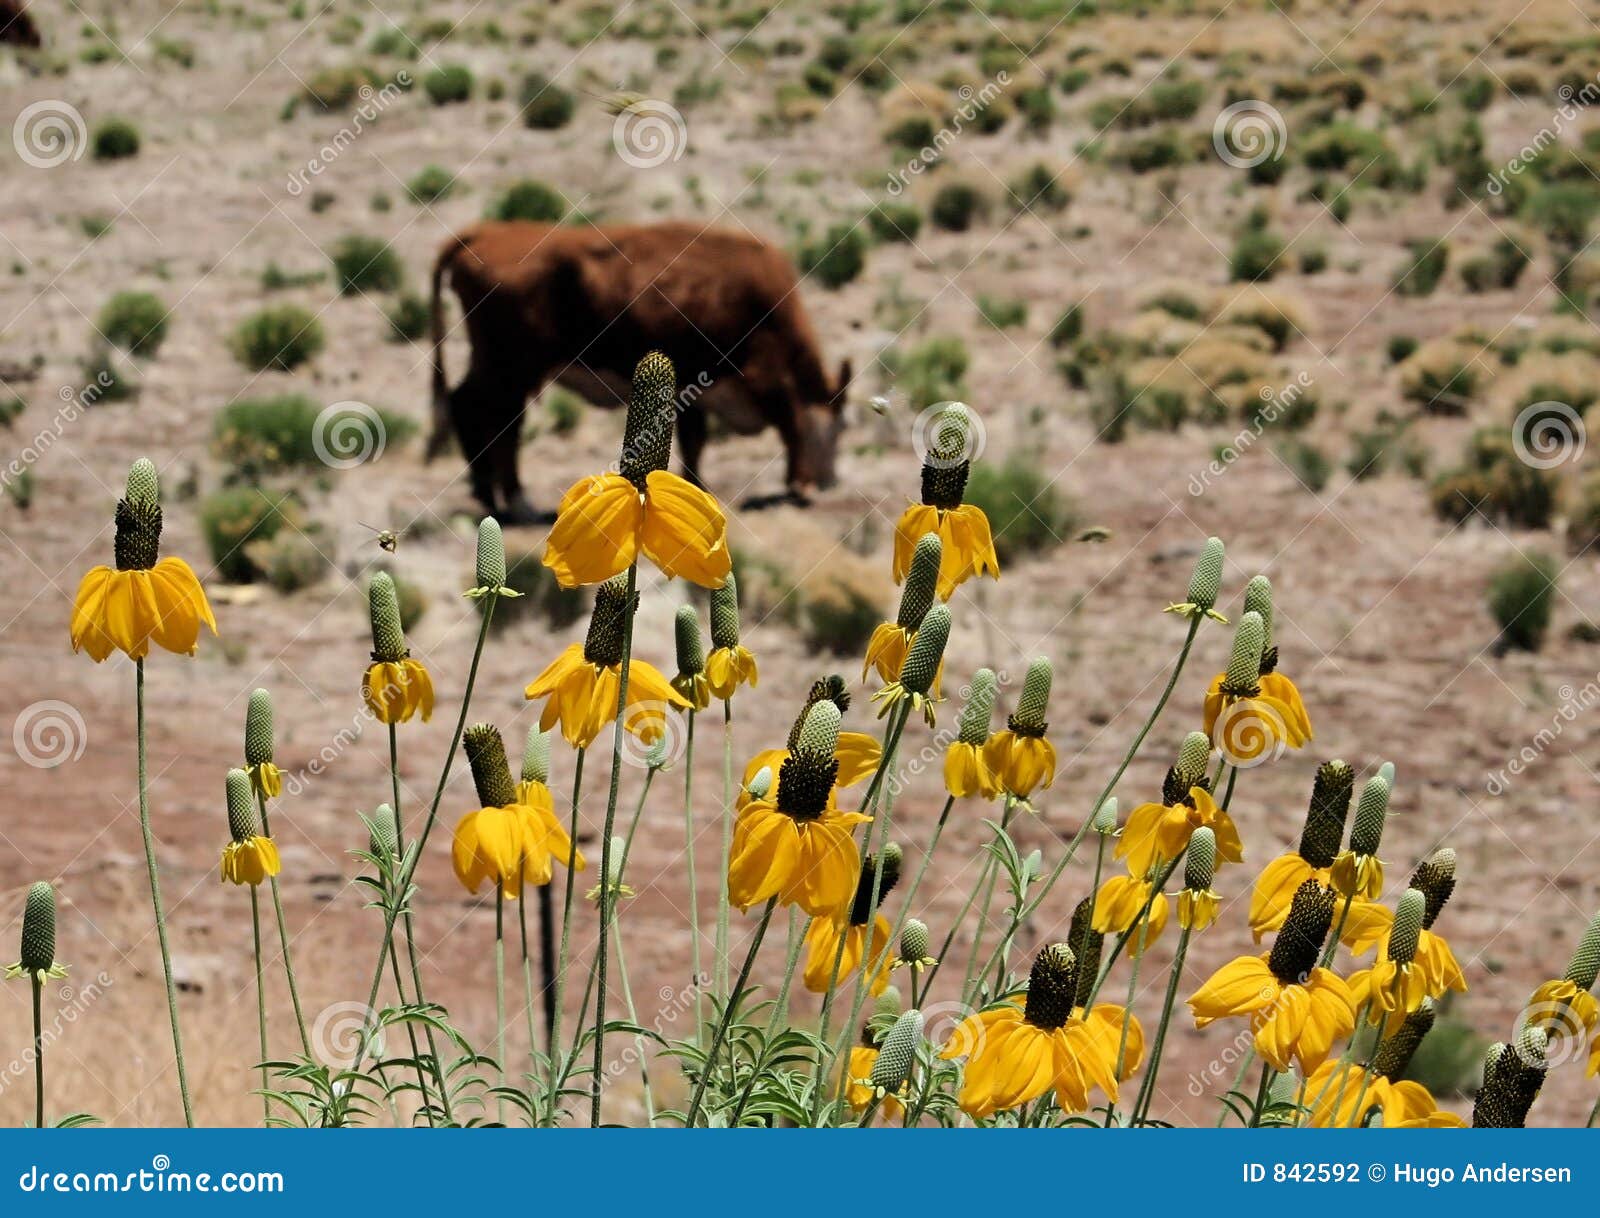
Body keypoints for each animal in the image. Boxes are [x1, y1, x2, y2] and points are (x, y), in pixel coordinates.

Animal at [426, 220, 850, 523]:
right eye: (840, 426)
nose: (830, 481)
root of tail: (486, 231)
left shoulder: (691, 388)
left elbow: (695, 441)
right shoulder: (762, 377)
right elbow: (790, 425)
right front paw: (797, 484)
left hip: (496, 365)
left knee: (469, 406)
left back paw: (488, 493)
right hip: (512, 369)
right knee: (499, 420)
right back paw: (517, 502)